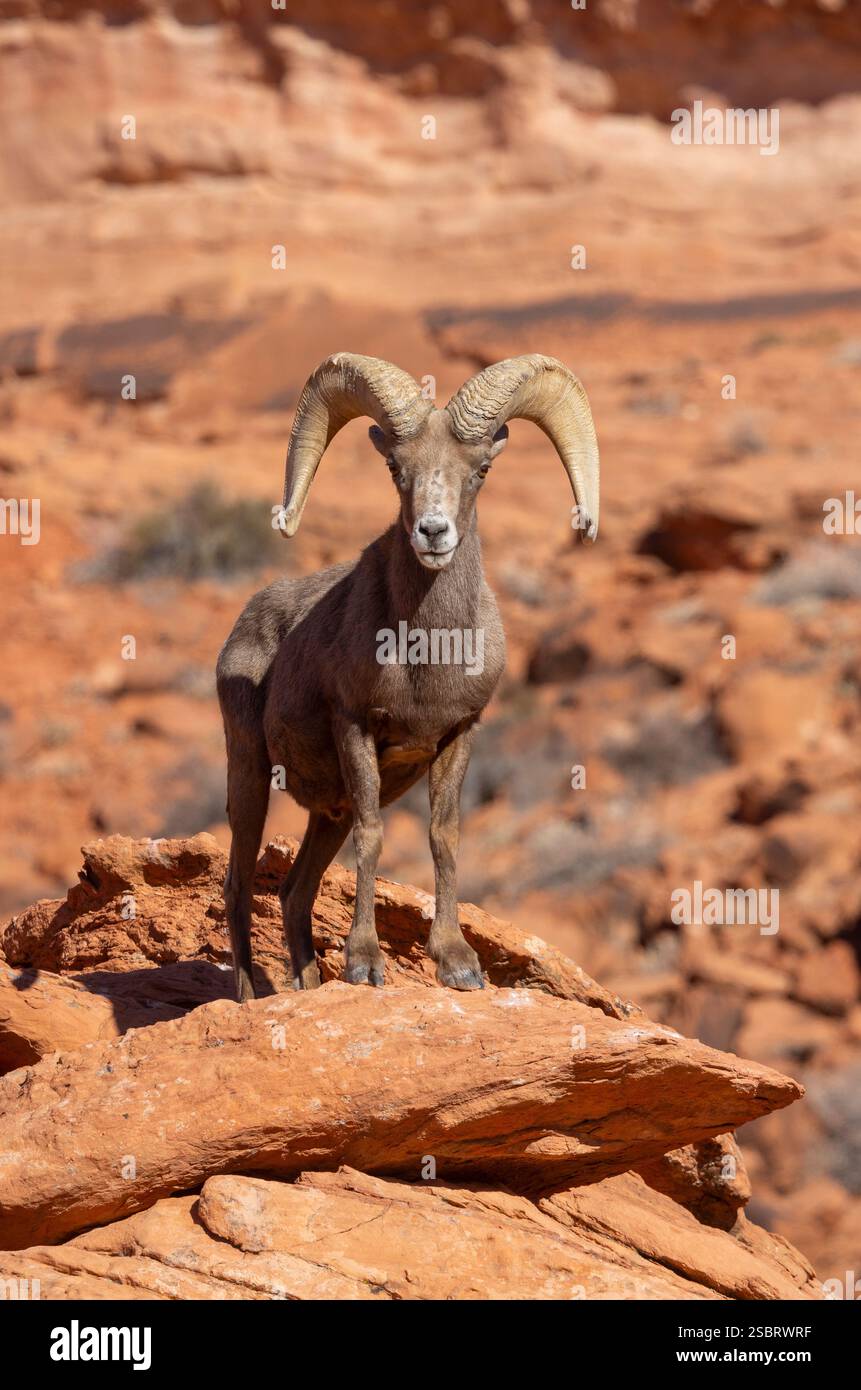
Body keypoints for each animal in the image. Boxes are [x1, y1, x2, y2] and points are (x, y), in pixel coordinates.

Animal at [216, 352, 600, 999]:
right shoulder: (355, 727)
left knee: (294, 895)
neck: (429, 652)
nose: (433, 532)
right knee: (240, 886)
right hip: (248, 773)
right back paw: (252, 996)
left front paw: (457, 964)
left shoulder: (458, 734)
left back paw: (309, 985)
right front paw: (365, 965)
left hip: (326, 815)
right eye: (397, 468)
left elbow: (444, 838)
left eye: (480, 470)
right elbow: (375, 835)